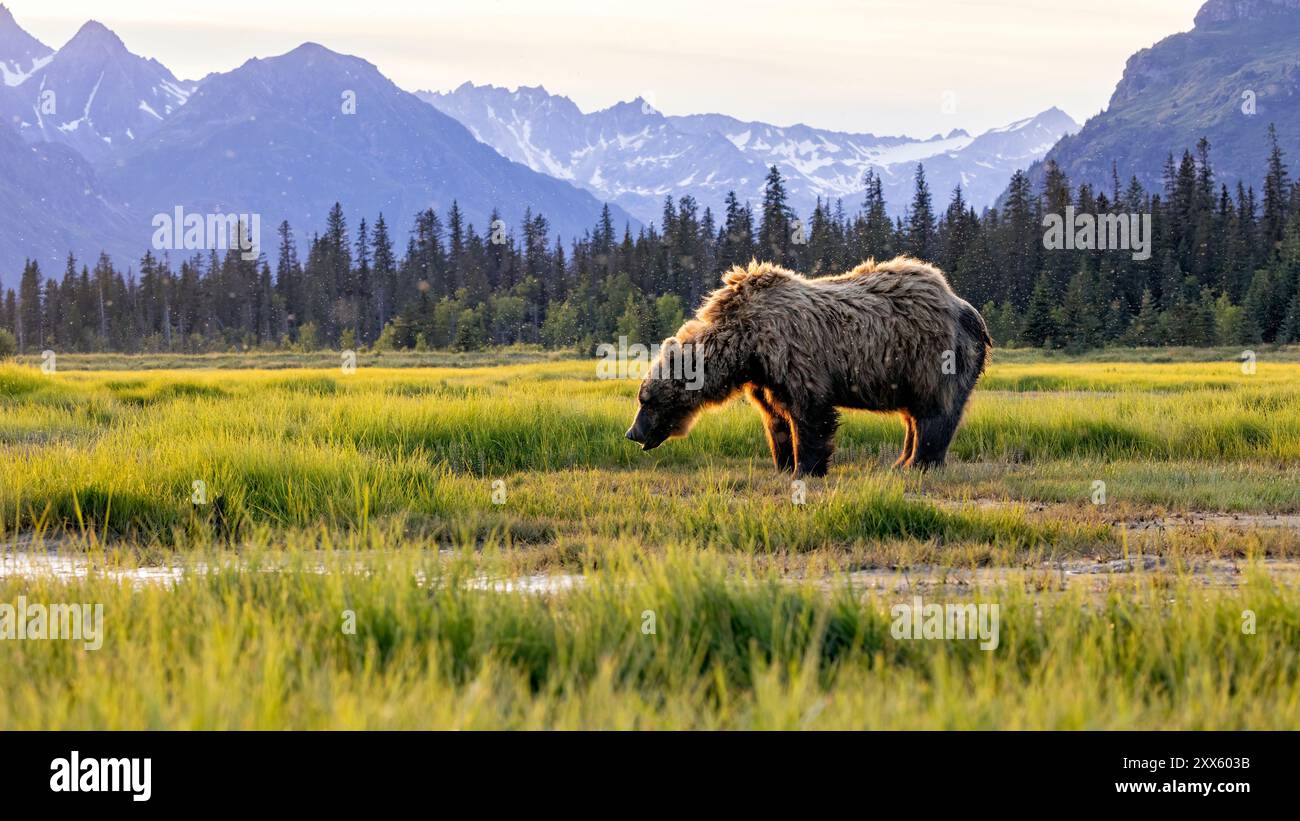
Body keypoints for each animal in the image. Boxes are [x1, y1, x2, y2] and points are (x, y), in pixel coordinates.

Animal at [624, 256, 992, 475]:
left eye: (647, 400)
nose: (631, 432)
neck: (747, 345)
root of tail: (967, 309)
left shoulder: (795, 357)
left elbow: (811, 415)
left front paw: (807, 467)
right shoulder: (766, 378)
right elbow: (775, 420)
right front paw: (783, 462)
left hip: (930, 357)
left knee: (934, 413)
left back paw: (919, 462)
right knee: (914, 416)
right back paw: (902, 460)